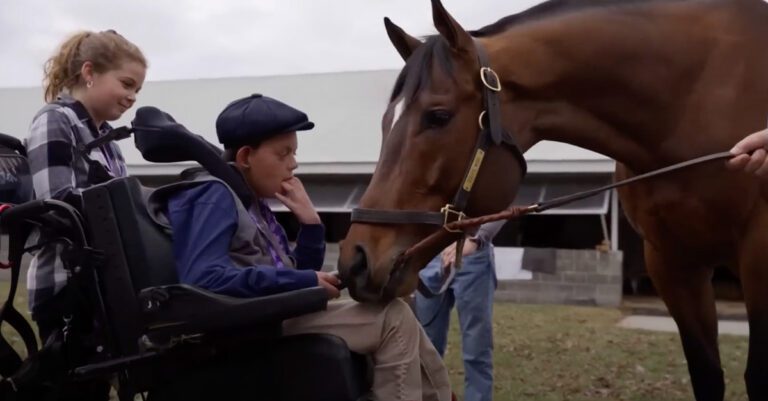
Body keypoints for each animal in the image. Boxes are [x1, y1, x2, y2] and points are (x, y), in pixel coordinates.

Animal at [337, 0, 768, 399]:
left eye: (438, 116)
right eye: (386, 121)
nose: (356, 260)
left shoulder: (756, 258)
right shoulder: (671, 263)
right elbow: (707, 374)